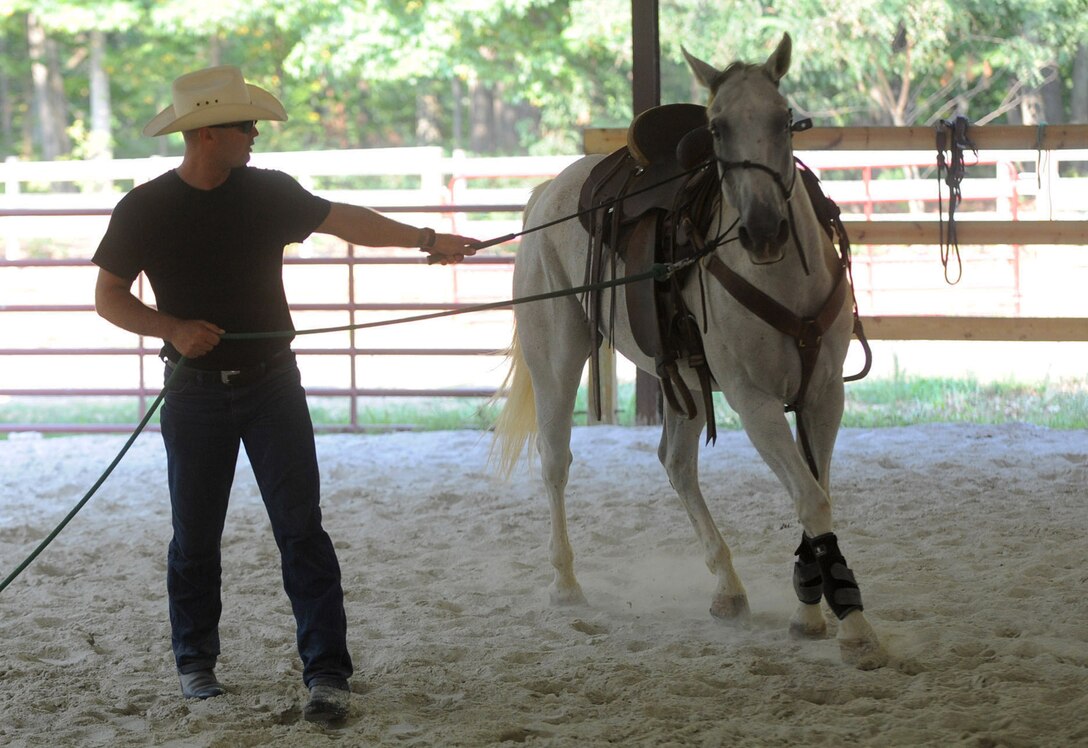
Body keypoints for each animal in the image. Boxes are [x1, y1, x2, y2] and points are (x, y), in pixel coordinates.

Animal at [492, 33, 887, 670]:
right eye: (717, 127)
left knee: (676, 464)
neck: (781, 279)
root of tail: (547, 191)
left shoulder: (823, 394)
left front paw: (810, 609)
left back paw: (727, 587)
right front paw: (853, 628)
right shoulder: (754, 401)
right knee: (555, 462)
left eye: (784, 120)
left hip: (681, 374)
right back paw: (566, 583)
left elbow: (816, 493)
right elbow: (810, 499)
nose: (763, 230)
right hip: (556, 358)